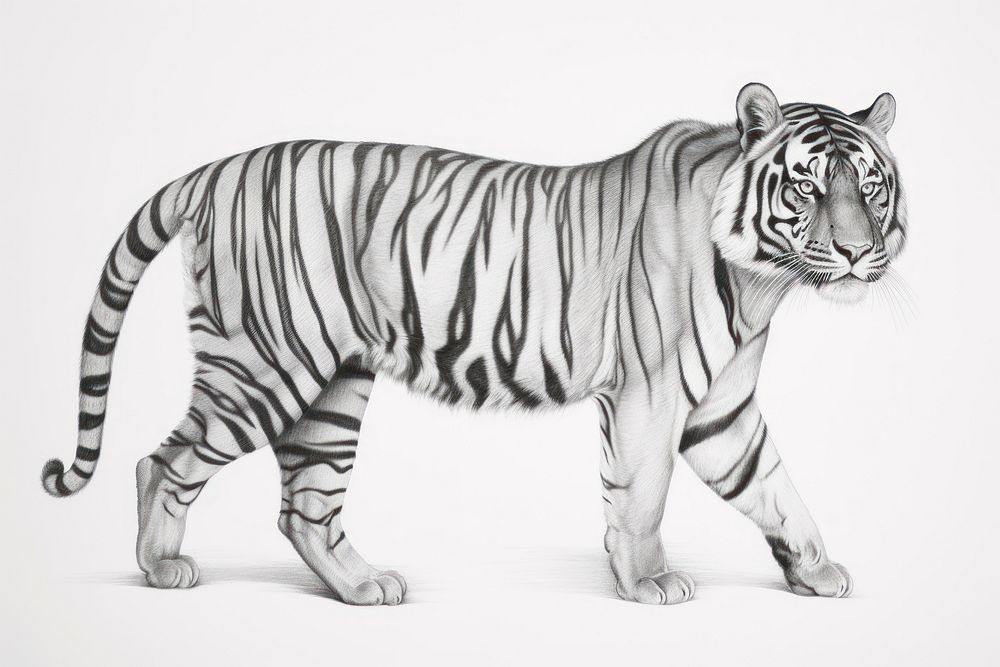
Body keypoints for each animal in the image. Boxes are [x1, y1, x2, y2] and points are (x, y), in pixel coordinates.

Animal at [42, 82, 906, 605]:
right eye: (808, 184)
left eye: (868, 184)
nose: (858, 252)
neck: (765, 281)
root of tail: (215, 170)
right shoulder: (650, 396)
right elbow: (643, 496)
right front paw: (647, 582)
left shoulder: (720, 408)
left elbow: (776, 486)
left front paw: (816, 568)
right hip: (261, 368)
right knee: (163, 461)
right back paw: (162, 567)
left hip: (333, 385)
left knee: (305, 506)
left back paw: (365, 585)